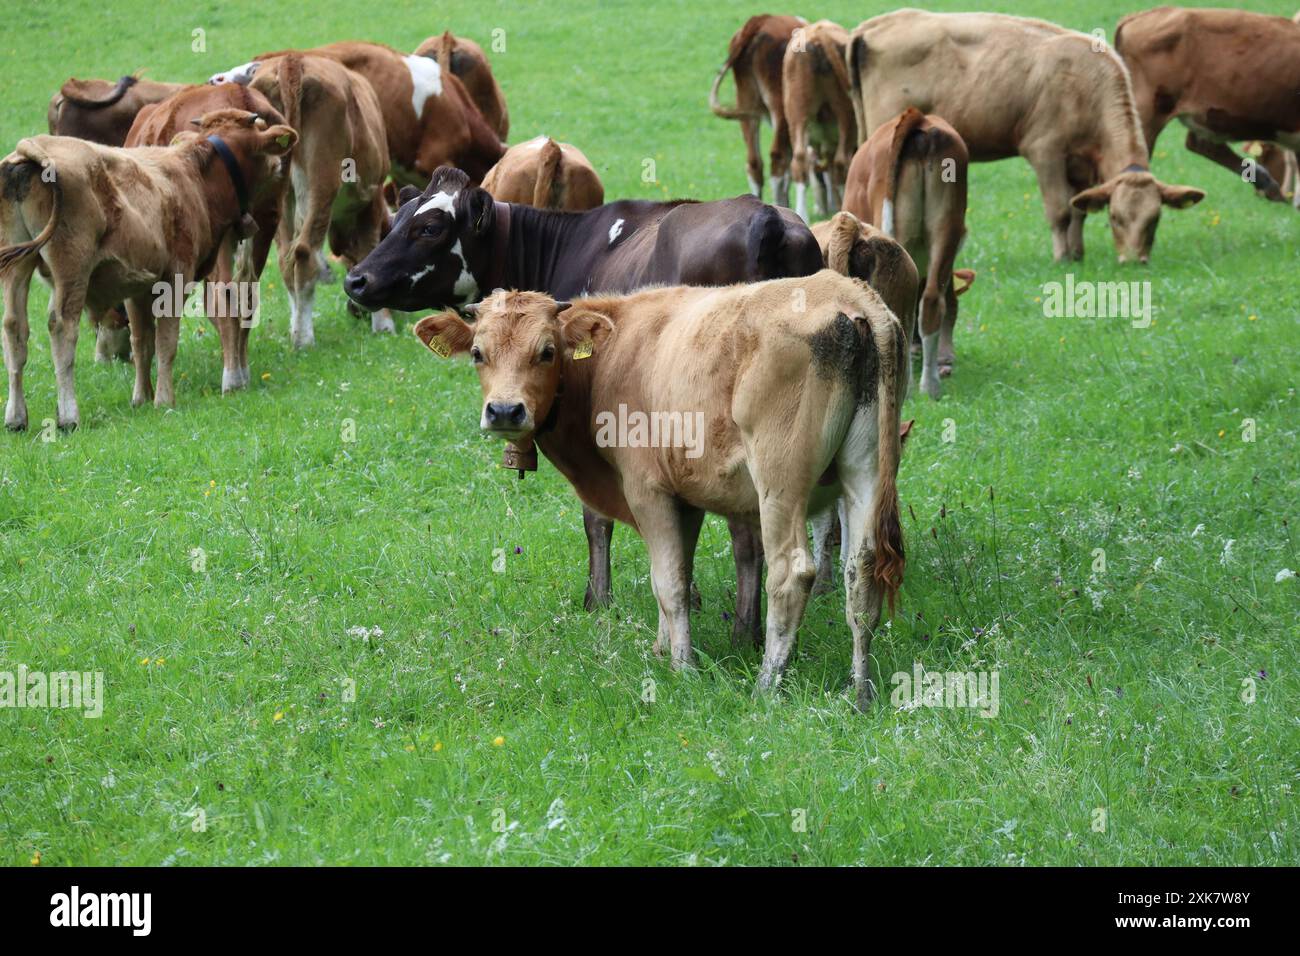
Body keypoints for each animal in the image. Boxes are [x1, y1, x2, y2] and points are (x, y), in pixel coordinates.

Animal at [240, 53, 391, 348]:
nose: (356, 312)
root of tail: (292, 60)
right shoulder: (373, 198)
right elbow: (370, 248)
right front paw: (383, 325)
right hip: (323, 177)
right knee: (303, 251)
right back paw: (304, 339)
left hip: (278, 193)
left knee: (286, 258)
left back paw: (297, 329)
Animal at [343, 165, 823, 645]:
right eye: (396, 218)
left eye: (429, 227)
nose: (355, 280)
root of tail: (766, 216)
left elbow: (597, 518)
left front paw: (598, 599)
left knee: (747, 531)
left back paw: (745, 633)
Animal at [411, 273, 908, 710]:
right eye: (478, 353)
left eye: (547, 352)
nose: (504, 411)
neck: (614, 352)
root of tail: (852, 299)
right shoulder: (685, 497)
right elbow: (678, 576)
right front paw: (663, 647)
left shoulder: (647, 491)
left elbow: (668, 582)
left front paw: (683, 668)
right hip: (864, 472)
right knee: (860, 572)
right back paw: (859, 692)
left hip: (780, 484)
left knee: (791, 574)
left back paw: (767, 685)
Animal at [782, 20, 856, 222]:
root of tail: (819, 34)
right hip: (844, 113)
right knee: (840, 162)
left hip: (797, 114)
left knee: (800, 160)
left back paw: (802, 214)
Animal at [846, 10, 1205, 262]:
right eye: (1115, 218)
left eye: (1154, 220)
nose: (1133, 261)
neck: (1086, 85)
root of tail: (872, 27)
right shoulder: (1046, 151)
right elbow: (1060, 210)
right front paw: (1062, 257)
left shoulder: (1080, 163)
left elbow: (1078, 209)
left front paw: (1078, 252)